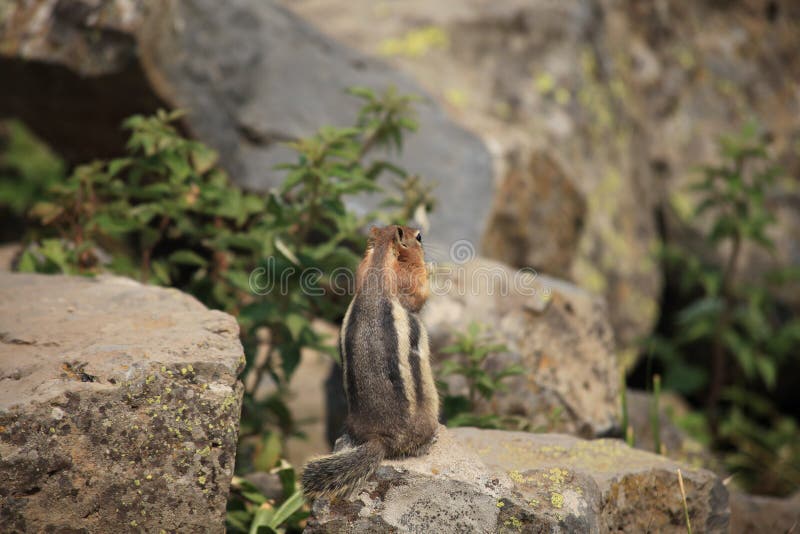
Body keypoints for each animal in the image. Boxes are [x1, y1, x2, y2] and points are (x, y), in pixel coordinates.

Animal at [301, 224, 440, 500]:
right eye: (418, 236)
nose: (422, 235)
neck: (380, 259)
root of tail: (379, 438)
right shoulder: (409, 279)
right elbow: (420, 295)